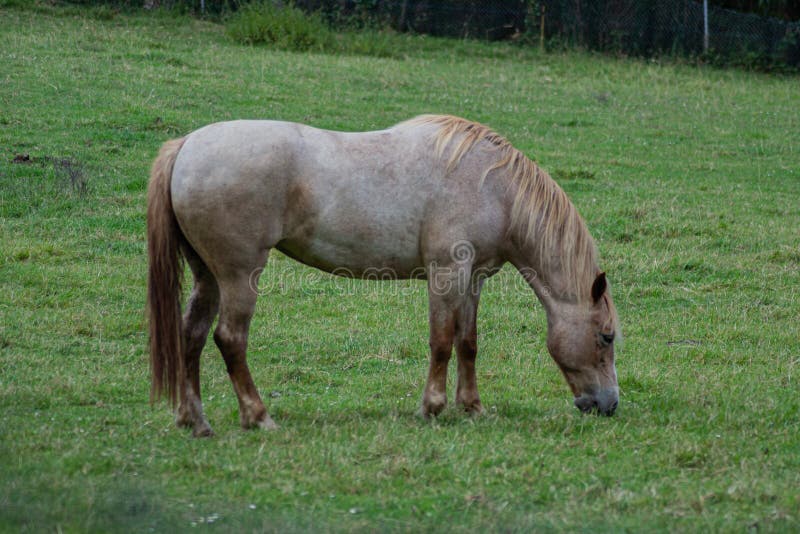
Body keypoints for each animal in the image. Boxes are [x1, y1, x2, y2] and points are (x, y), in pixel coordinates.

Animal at [147, 115, 621, 437]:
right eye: (607, 336)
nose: (609, 405)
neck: (493, 186)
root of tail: (186, 146)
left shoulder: (473, 278)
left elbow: (467, 343)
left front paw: (472, 407)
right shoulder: (447, 273)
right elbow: (442, 341)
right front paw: (432, 407)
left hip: (207, 276)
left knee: (191, 335)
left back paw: (195, 420)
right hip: (239, 275)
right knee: (230, 339)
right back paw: (258, 416)